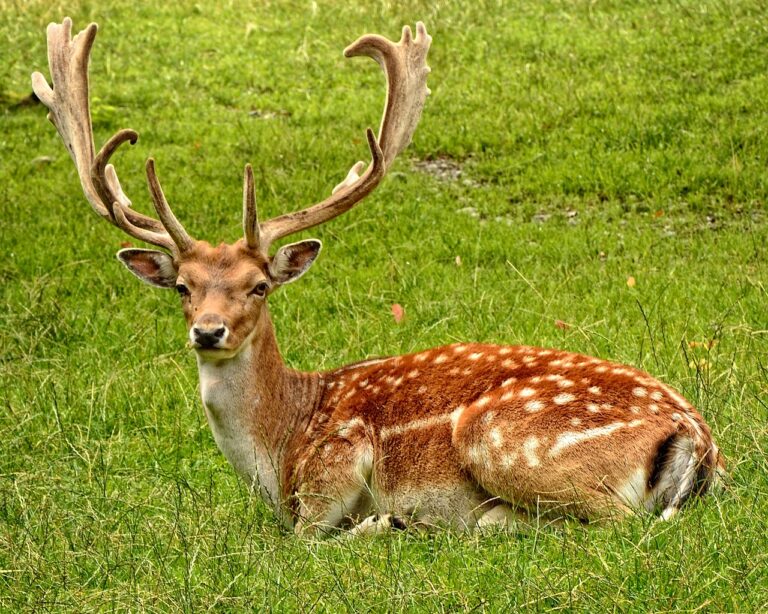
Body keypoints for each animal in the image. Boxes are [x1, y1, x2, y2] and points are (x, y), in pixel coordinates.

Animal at [32, 18, 723, 536]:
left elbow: (307, 537)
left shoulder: (334, 465)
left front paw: (380, 523)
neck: (280, 448)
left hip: (502, 437)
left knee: (613, 521)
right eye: (183, 286)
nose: (208, 331)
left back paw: (454, 522)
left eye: (260, 285)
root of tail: (696, 436)